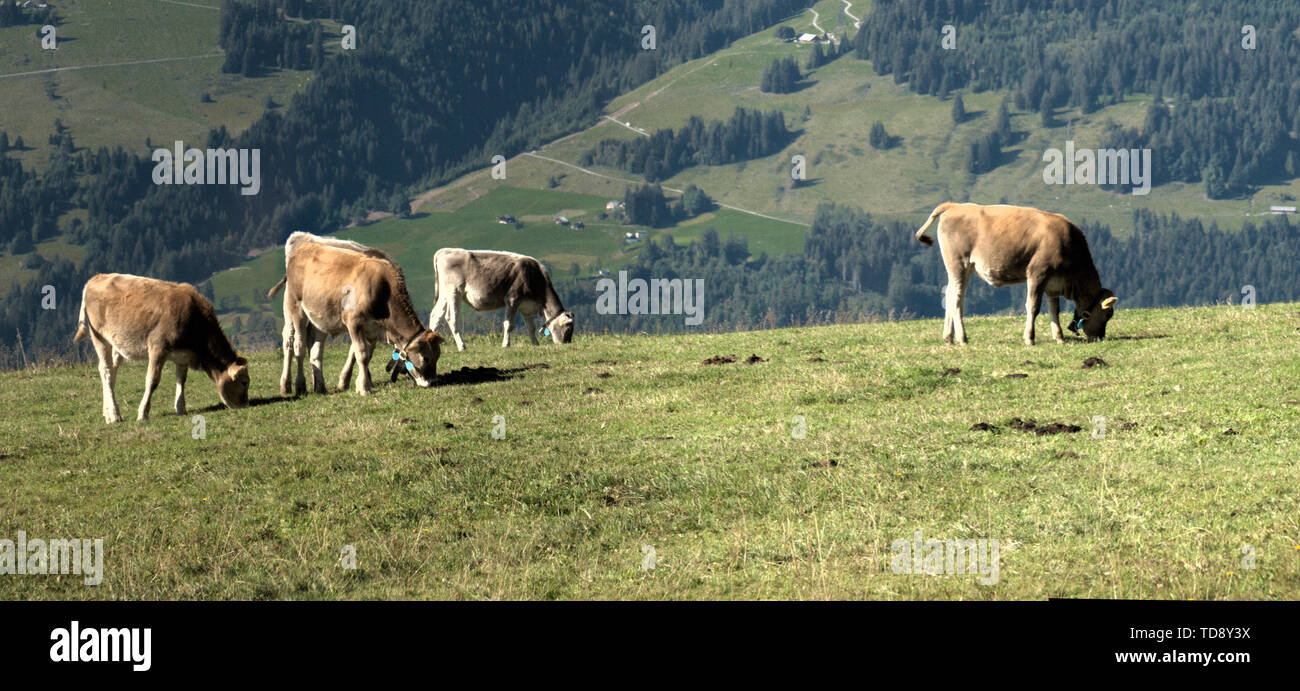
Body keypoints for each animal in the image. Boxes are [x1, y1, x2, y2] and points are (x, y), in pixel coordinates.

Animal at [74, 273, 250, 423]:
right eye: (244, 382)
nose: (245, 405)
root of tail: (96, 278)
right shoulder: (158, 348)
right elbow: (152, 381)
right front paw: (143, 413)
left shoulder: (183, 356)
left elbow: (181, 379)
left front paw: (181, 408)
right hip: (100, 338)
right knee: (106, 371)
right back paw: (115, 415)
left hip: (117, 343)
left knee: (110, 373)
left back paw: (108, 412)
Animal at [267, 232, 443, 395]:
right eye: (426, 358)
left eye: (438, 356)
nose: (432, 382)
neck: (384, 291)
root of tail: (303, 245)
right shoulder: (353, 322)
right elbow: (362, 353)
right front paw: (363, 387)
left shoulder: (373, 330)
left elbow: (364, 354)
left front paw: (357, 382)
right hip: (295, 308)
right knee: (296, 344)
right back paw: (295, 385)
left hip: (319, 316)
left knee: (315, 348)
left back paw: (319, 386)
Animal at [428, 248, 574, 351]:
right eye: (568, 329)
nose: (567, 344)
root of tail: (444, 251)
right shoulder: (512, 299)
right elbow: (509, 325)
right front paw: (506, 344)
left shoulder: (525, 306)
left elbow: (531, 327)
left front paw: (535, 344)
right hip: (454, 291)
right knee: (451, 318)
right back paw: (462, 346)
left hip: (444, 294)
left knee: (435, 315)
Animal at [914, 202, 1119, 345]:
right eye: (1108, 314)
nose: (1100, 338)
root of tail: (954, 206)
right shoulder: (1037, 272)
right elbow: (1033, 306)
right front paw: (1030, 338)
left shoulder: (1053, 283)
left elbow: (1054, 309)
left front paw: (1059, 337)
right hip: (958, 263)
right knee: (956, 298)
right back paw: (962, 338)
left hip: (965, 268)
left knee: (950, 294)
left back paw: (948, 337)